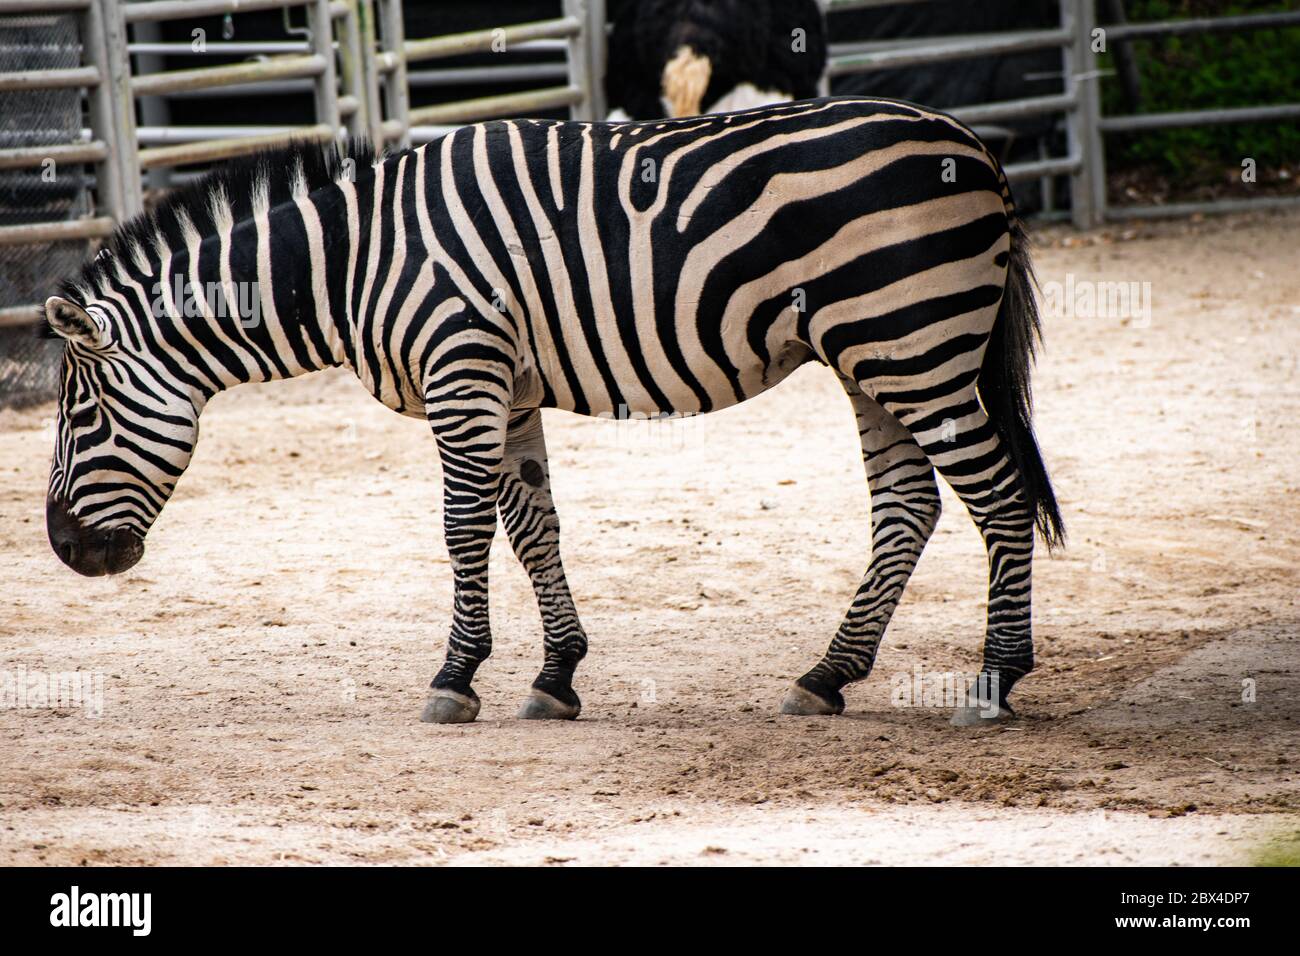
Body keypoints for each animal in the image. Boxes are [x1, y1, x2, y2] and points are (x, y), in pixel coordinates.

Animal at [42, 96, 1063, 725]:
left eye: (83, 418)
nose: (63, 550)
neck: (354, 263)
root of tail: (970, 143)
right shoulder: (508, 384)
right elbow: (534, 528)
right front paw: (556, 676)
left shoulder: (460, 367)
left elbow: (460, 528)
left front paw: (455, 680)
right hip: (873, 354)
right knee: (909, 506)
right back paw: (826, 676)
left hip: (912, 340)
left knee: (998, 496)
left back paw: (994, 679)